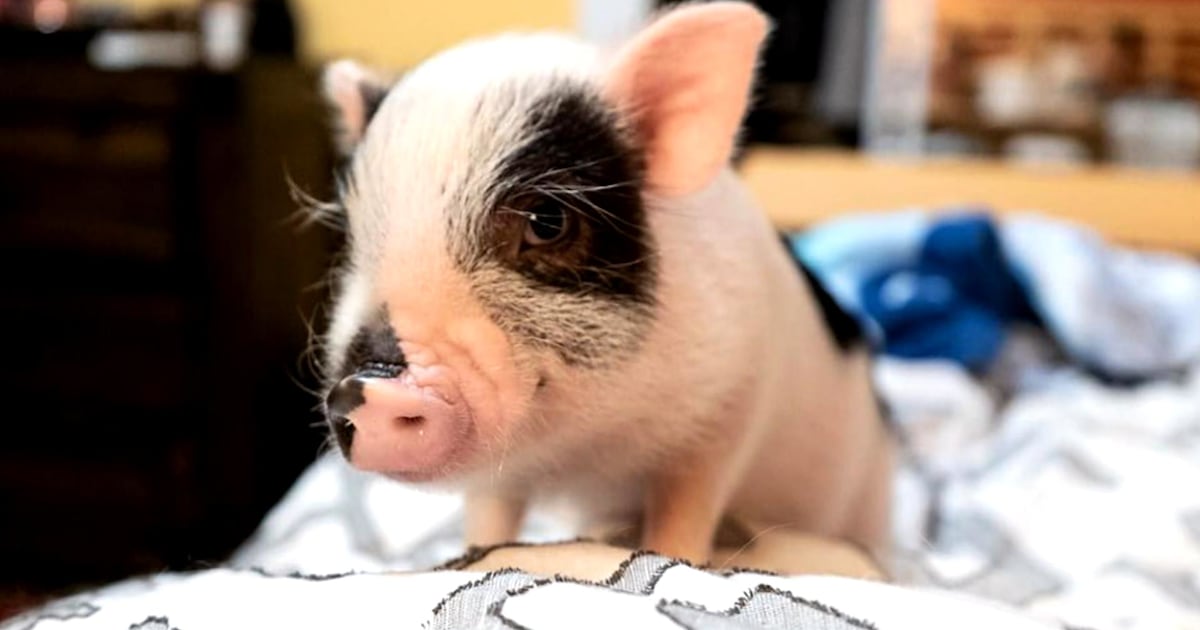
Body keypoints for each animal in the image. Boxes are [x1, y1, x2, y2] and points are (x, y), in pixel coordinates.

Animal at [316, 1, 894, 564]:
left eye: (547, 221)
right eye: (350, 232)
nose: (368, 385)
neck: (592, 450)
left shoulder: (730, 406)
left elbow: (685, 511)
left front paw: (672, 557)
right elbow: (492, 516)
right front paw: (471, 554)